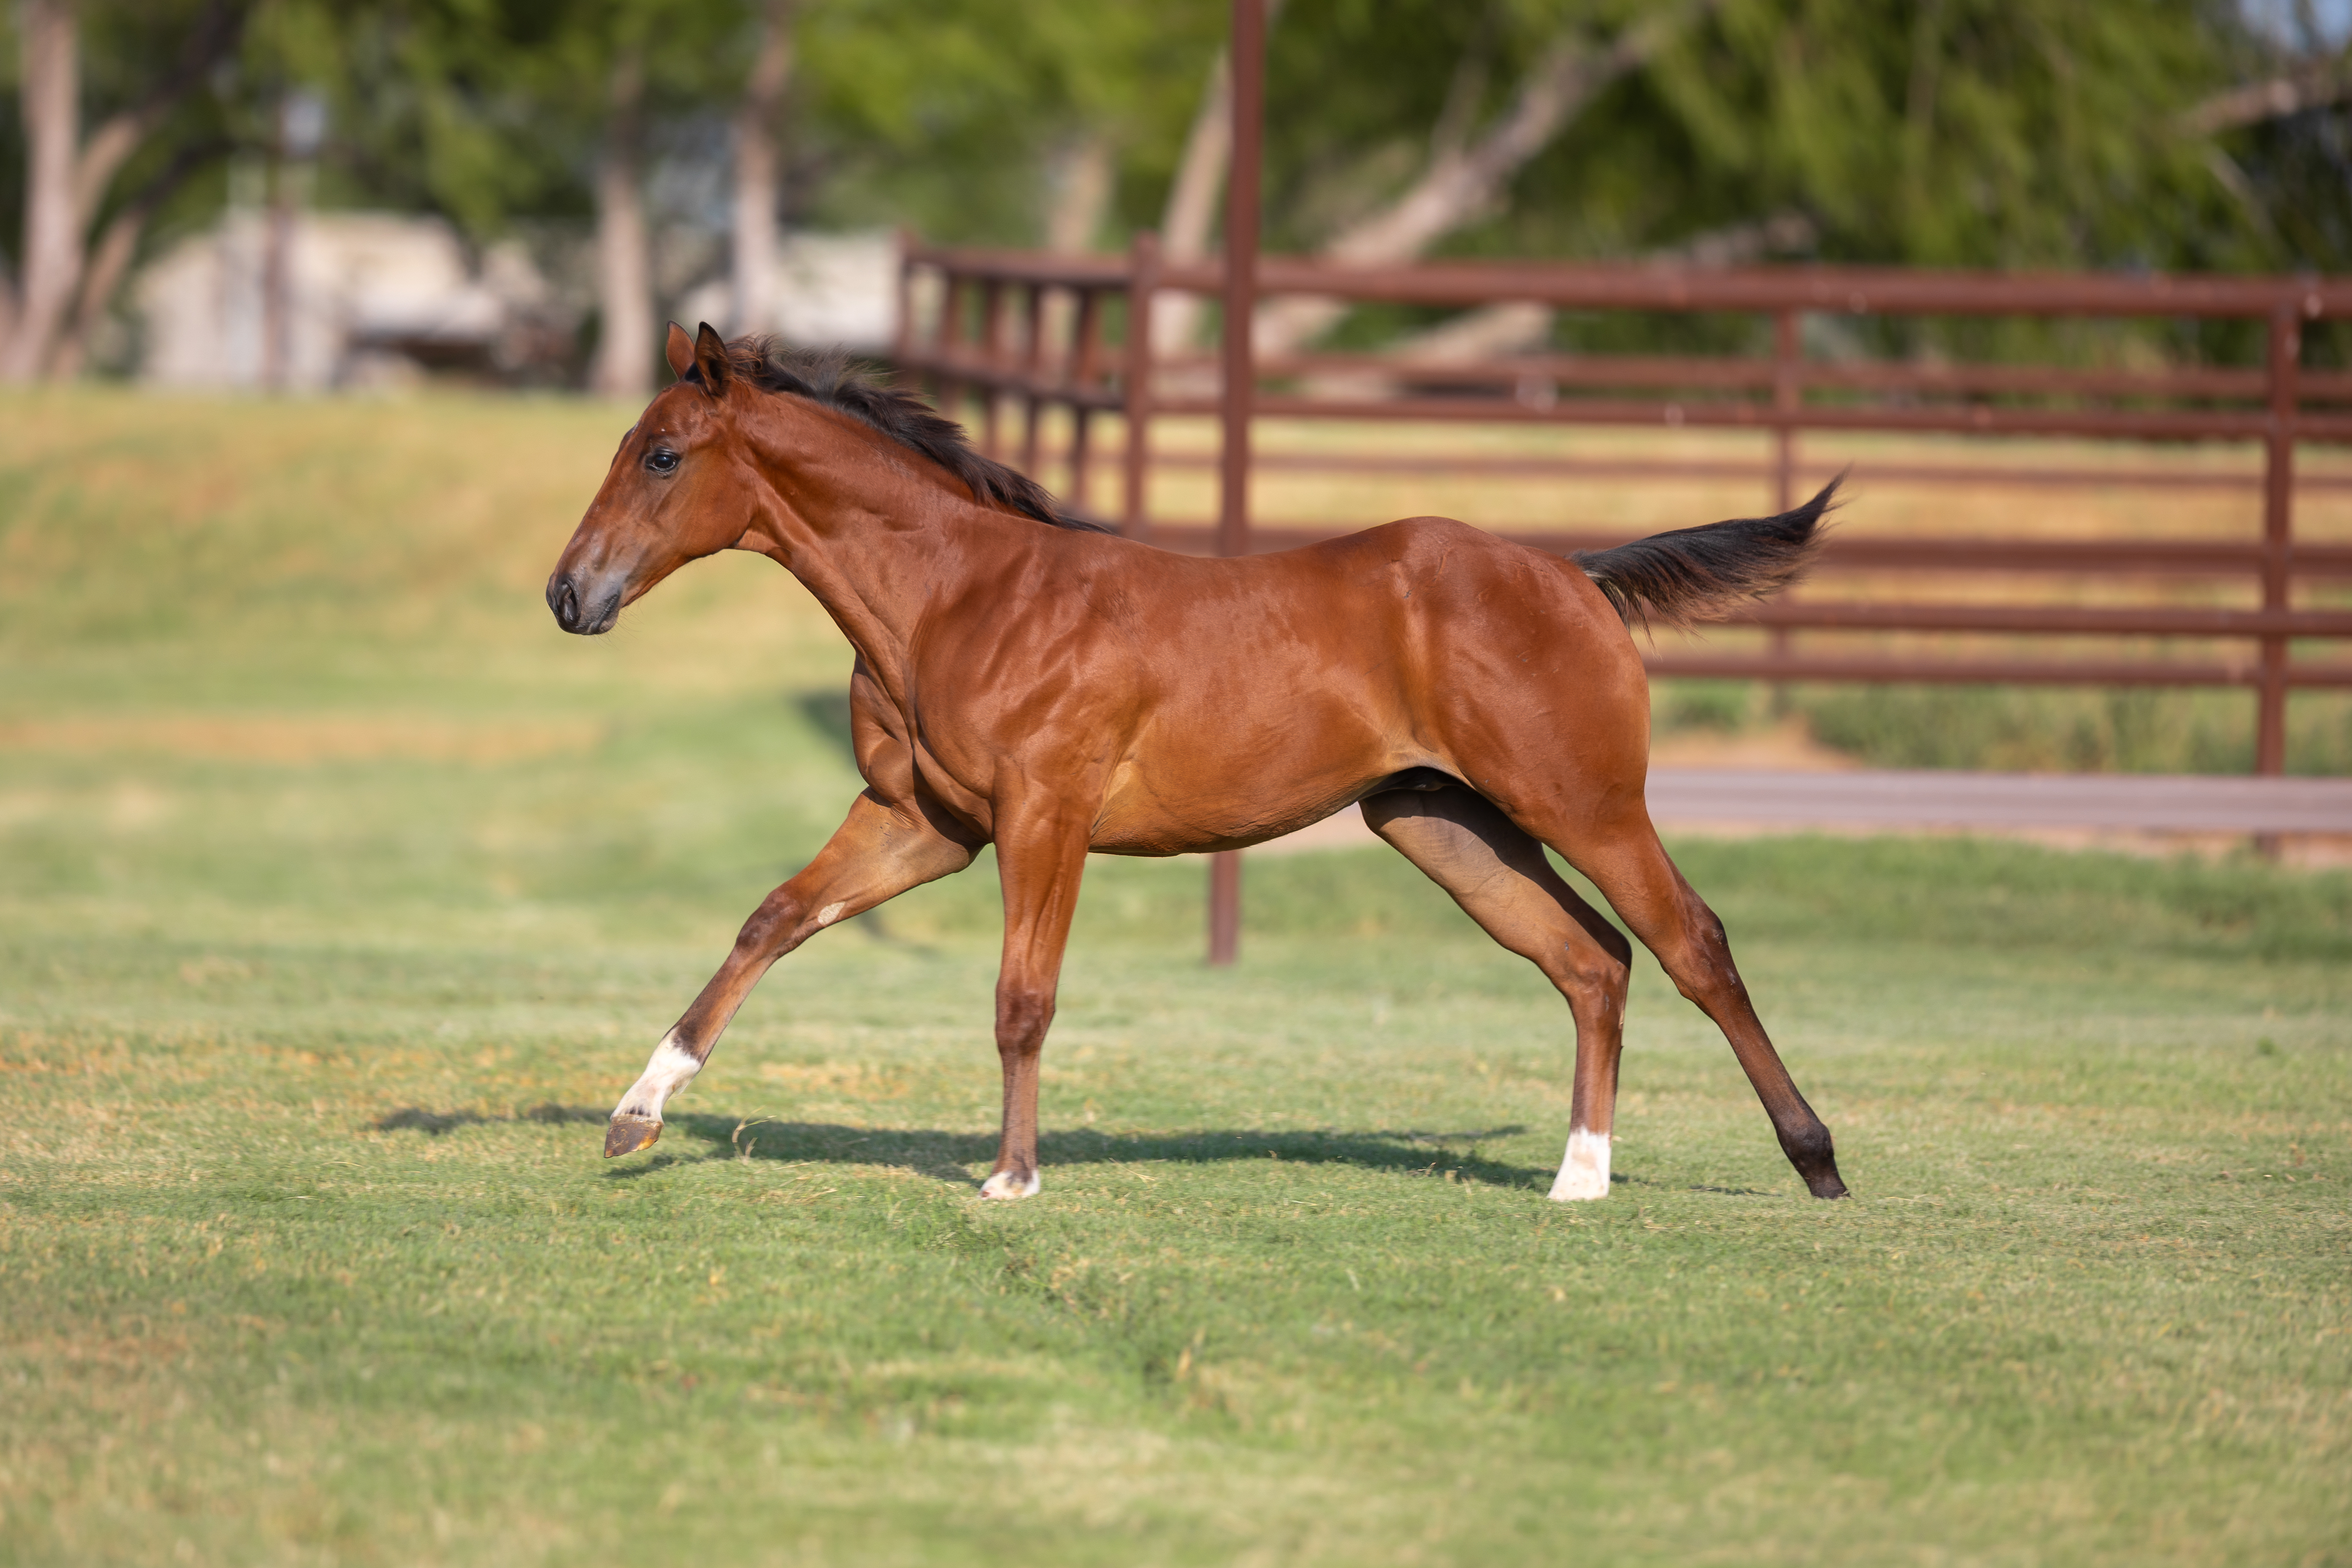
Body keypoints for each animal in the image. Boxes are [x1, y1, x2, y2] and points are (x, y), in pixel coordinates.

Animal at [546, 322, 1849, 1203]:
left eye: (661, 457)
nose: (569, 595)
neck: (953, 598)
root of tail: (1574, 572)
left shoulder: (1044, 816)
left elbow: (1022, 998)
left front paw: (1012, 1177)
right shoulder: (921, 822)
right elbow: (771, 919)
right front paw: (635, 1113)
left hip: (1584, 800)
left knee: (1689, 944)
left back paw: (1814, 1161)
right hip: (1441, 822)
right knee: (1591, 960)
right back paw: (1579, 1177)